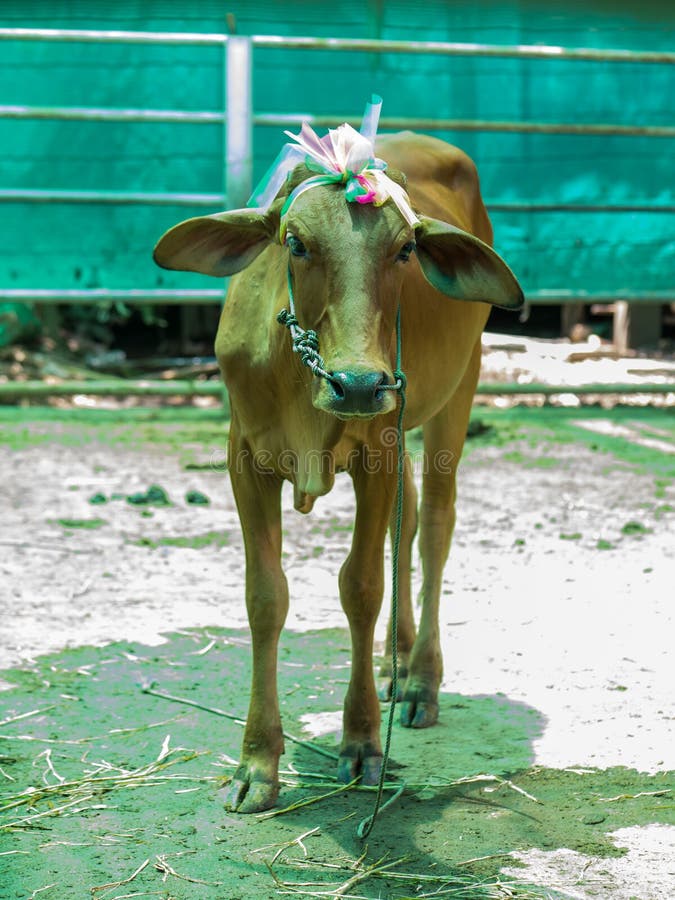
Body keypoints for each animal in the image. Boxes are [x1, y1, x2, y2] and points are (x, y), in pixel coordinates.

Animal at [153, 98, 523, 814]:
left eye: (406, 249)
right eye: (296, 243)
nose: (357, 384)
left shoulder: (377, 449)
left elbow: (361, 586)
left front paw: (361, 742)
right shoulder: (245, 457)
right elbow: (265, 595)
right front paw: (256, 762)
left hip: (457, 387)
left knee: (435, 524)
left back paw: (420, 679)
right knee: (410, 519)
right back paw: (395, 661)